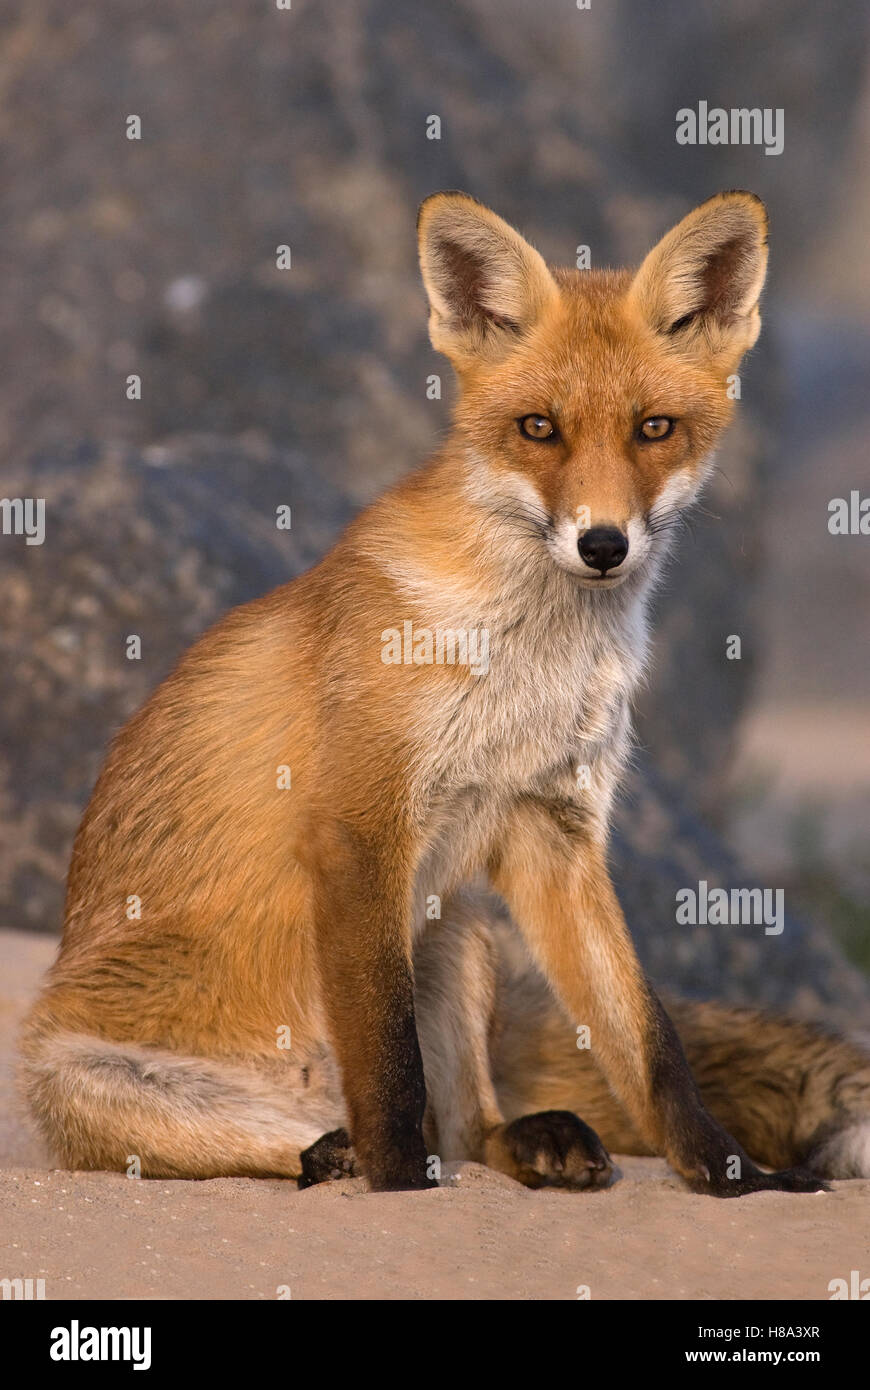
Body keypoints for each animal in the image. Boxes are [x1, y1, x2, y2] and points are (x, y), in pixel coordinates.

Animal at [19, 191, 870, 1196]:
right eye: (538, 428)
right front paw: (397, 1187)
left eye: (653, 429)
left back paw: (530, 1142)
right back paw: (341, 1155)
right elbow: (389, 1066)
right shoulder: (358, 832)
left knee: (467, 1127)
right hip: (91, 1080)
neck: (529, 661)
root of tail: (302, 1083)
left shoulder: (554, 830)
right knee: (306, 1139)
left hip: (456, 932)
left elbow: (648, 1036)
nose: (604, 545)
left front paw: (725, 1172)